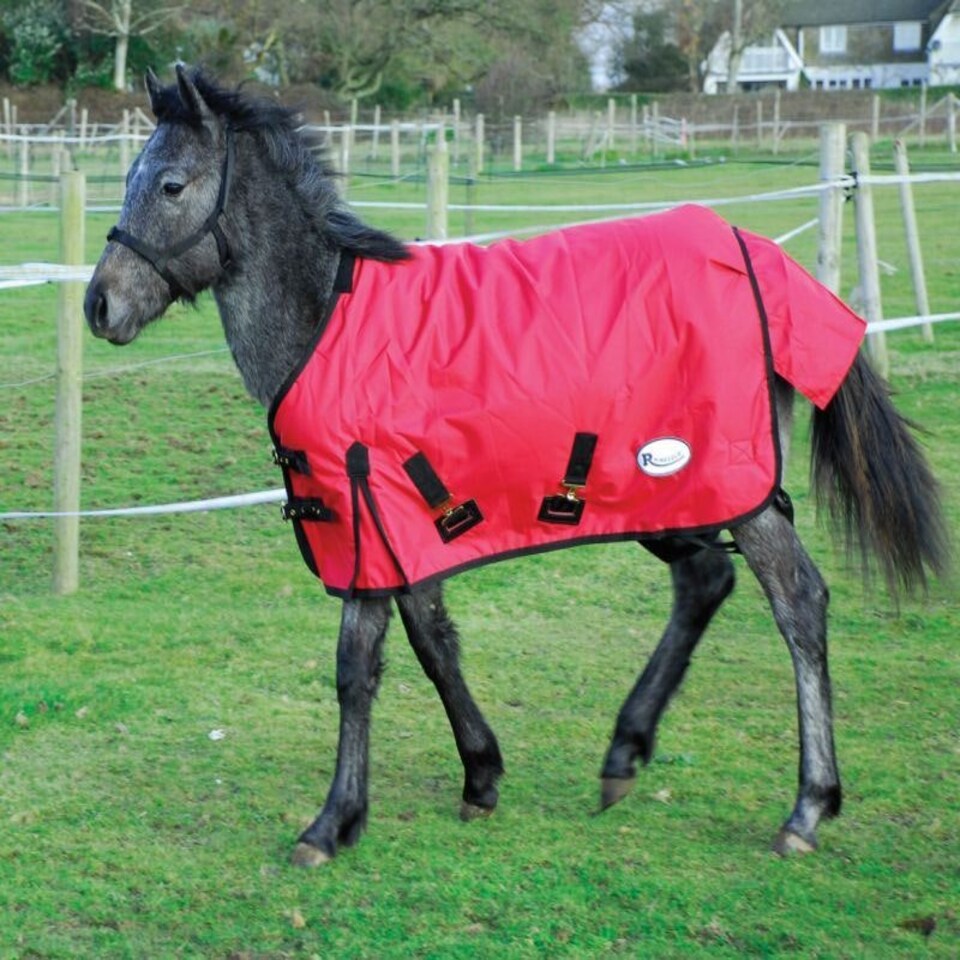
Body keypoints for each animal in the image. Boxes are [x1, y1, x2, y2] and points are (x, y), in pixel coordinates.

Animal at [84, 66, 948, 867]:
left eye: (171, 184)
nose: (99, 305)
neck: (327, 318)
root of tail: (760, 256)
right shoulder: (405, 529)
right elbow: (434, 644)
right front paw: (481, 775)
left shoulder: (365, 523)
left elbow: (356, 669)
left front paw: (331, 824)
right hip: (662, 492)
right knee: (706, 579)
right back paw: (625, 753)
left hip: (732, 489)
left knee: (797, 601)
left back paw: (807, 806)